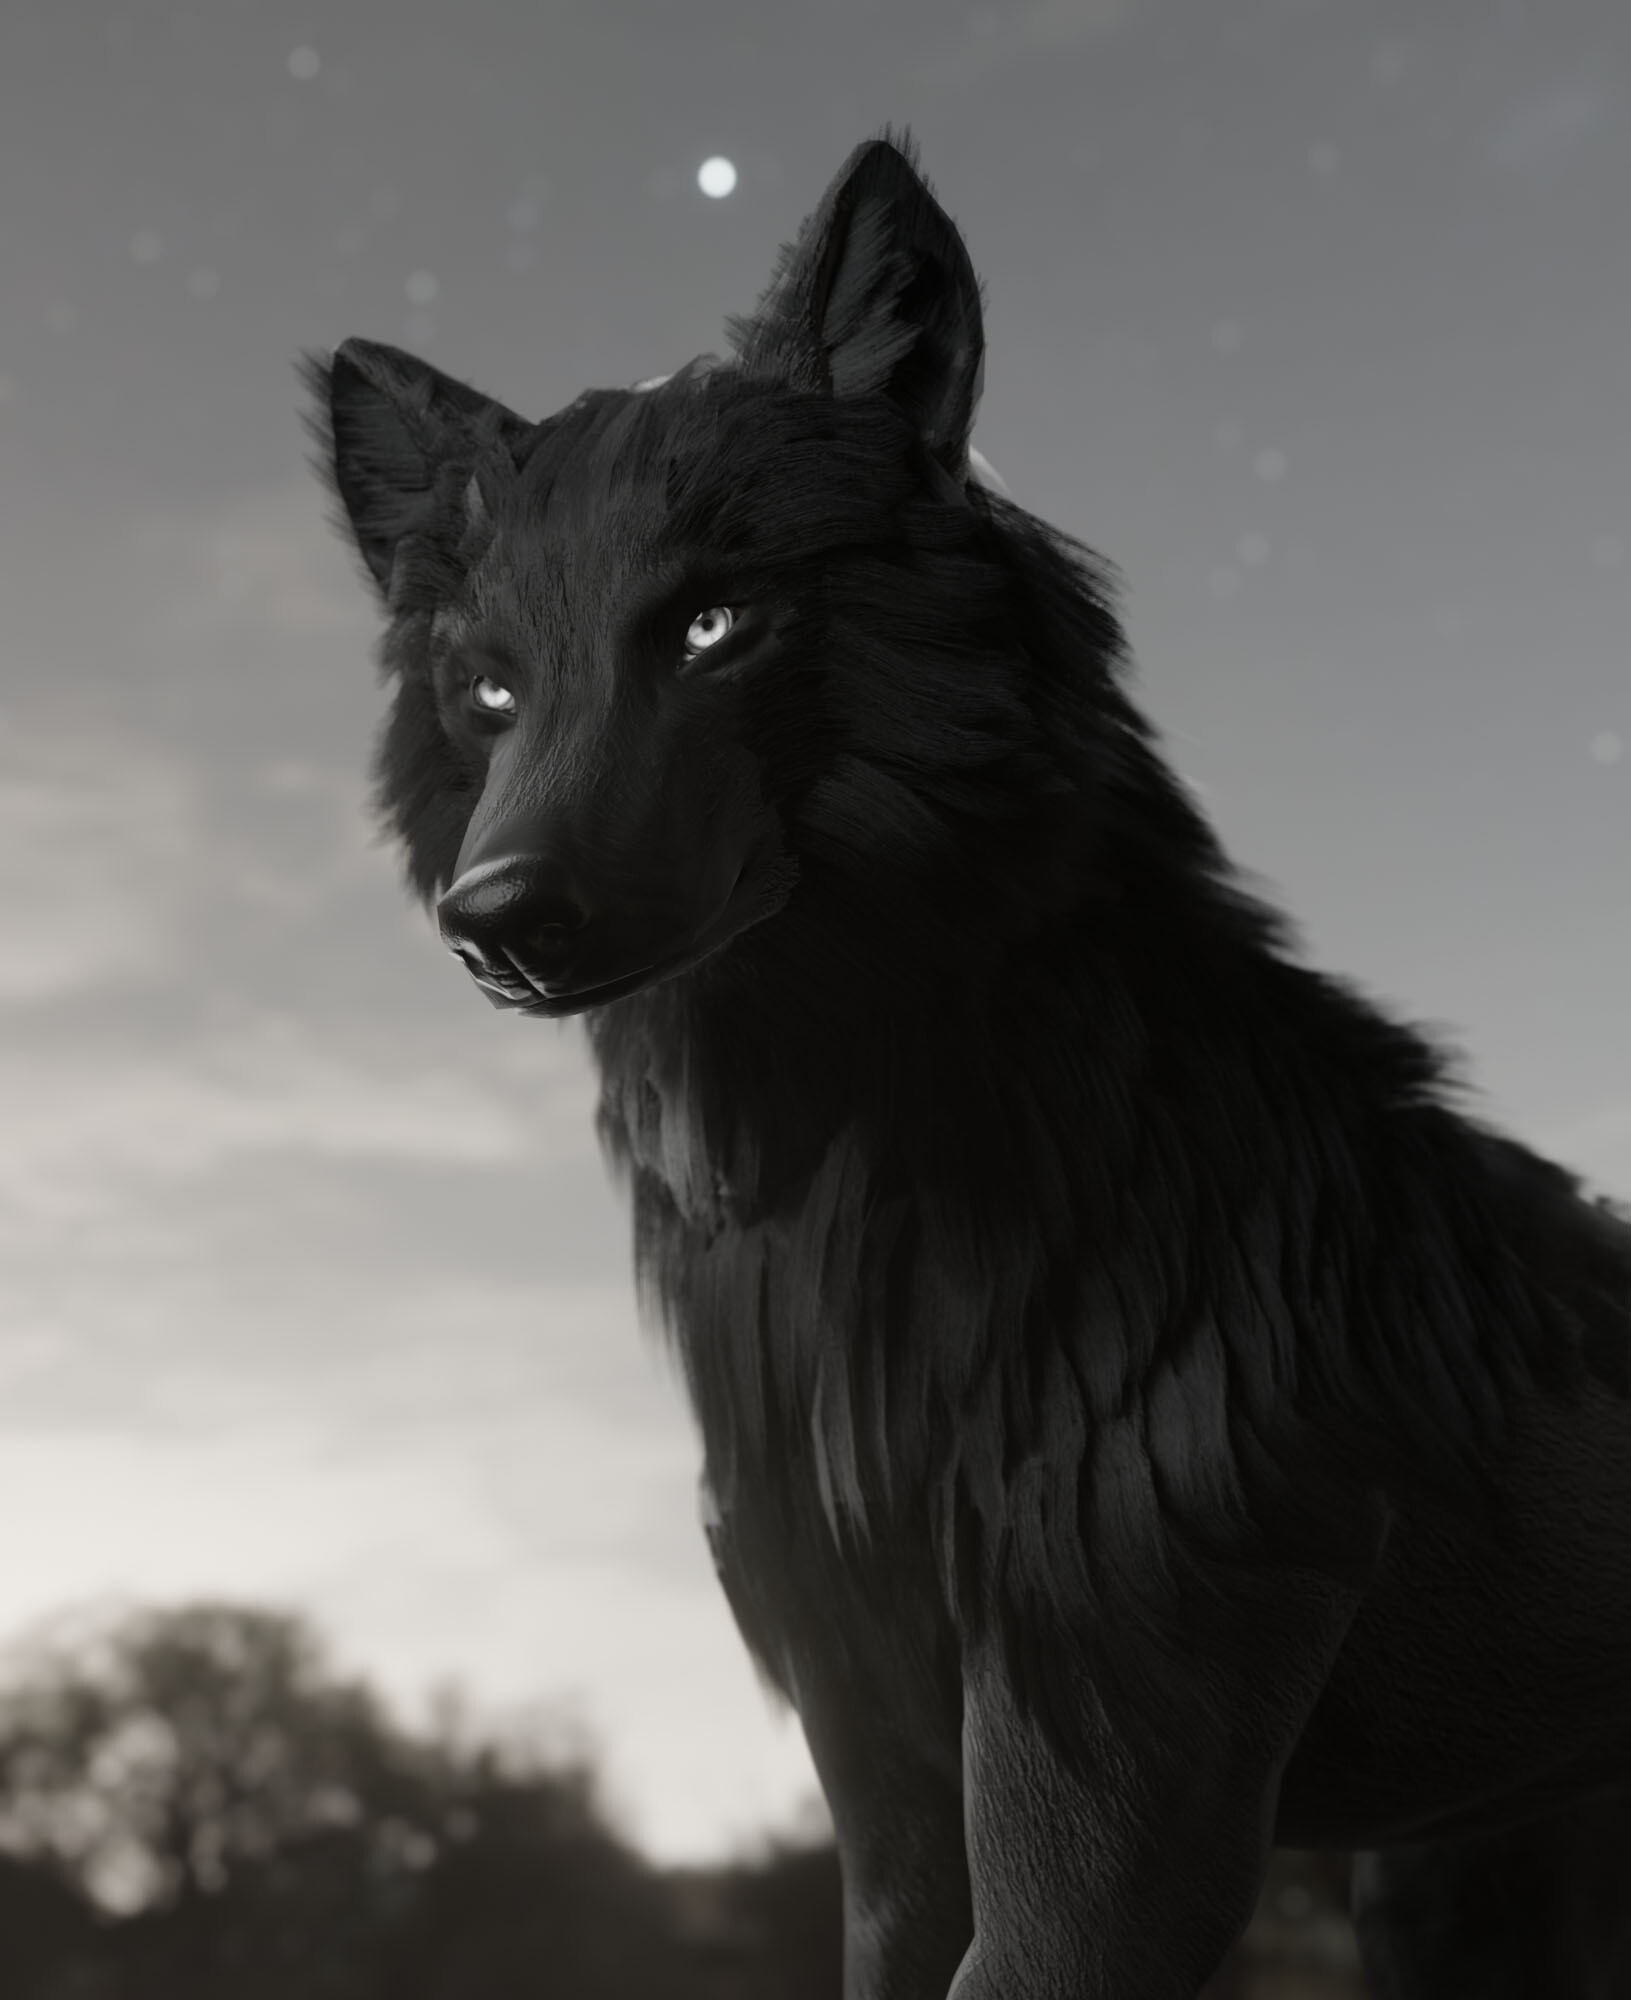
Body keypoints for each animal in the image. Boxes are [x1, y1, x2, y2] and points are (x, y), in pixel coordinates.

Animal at [306, 134, 1631, 1999]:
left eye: (712, 624)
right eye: (489, 691)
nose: (498, 922)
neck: (847, 1221)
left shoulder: (1117, 1795)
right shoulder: (880, 1777)